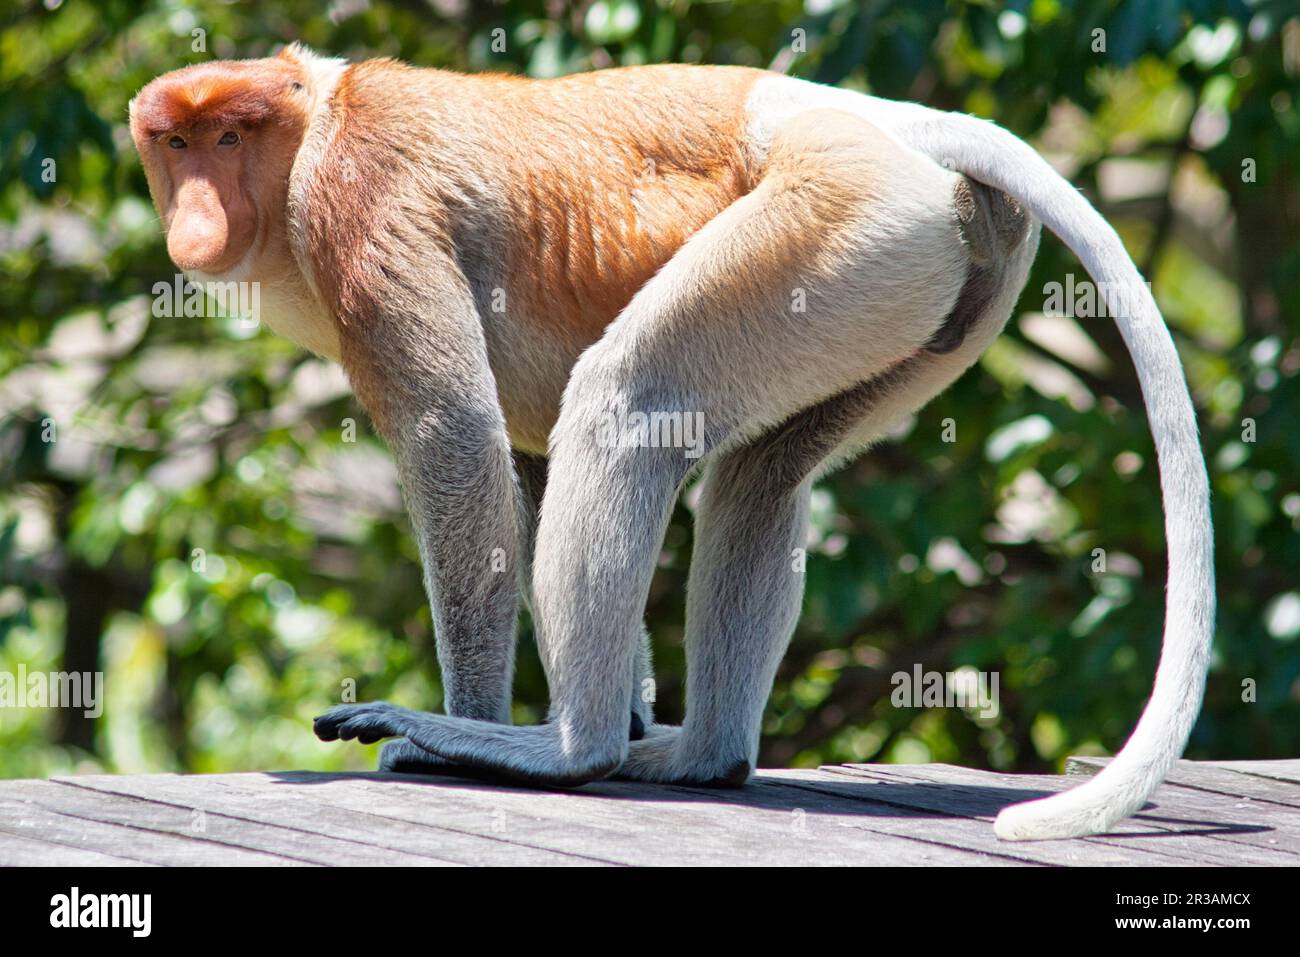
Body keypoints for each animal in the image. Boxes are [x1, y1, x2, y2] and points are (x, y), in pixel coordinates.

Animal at [129, 44, 1214, 841]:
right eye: (176, 143)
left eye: (229, 136)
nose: (196, 218)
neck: (314, 120)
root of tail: (883, 122)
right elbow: (527, 455)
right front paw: (636, 703)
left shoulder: (361, 193)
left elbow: (456, 435)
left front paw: (461, 728)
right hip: (923, 280)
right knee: (763, 476)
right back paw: (696, 754)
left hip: (839, 216)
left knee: (628, 403)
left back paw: (569, 749)